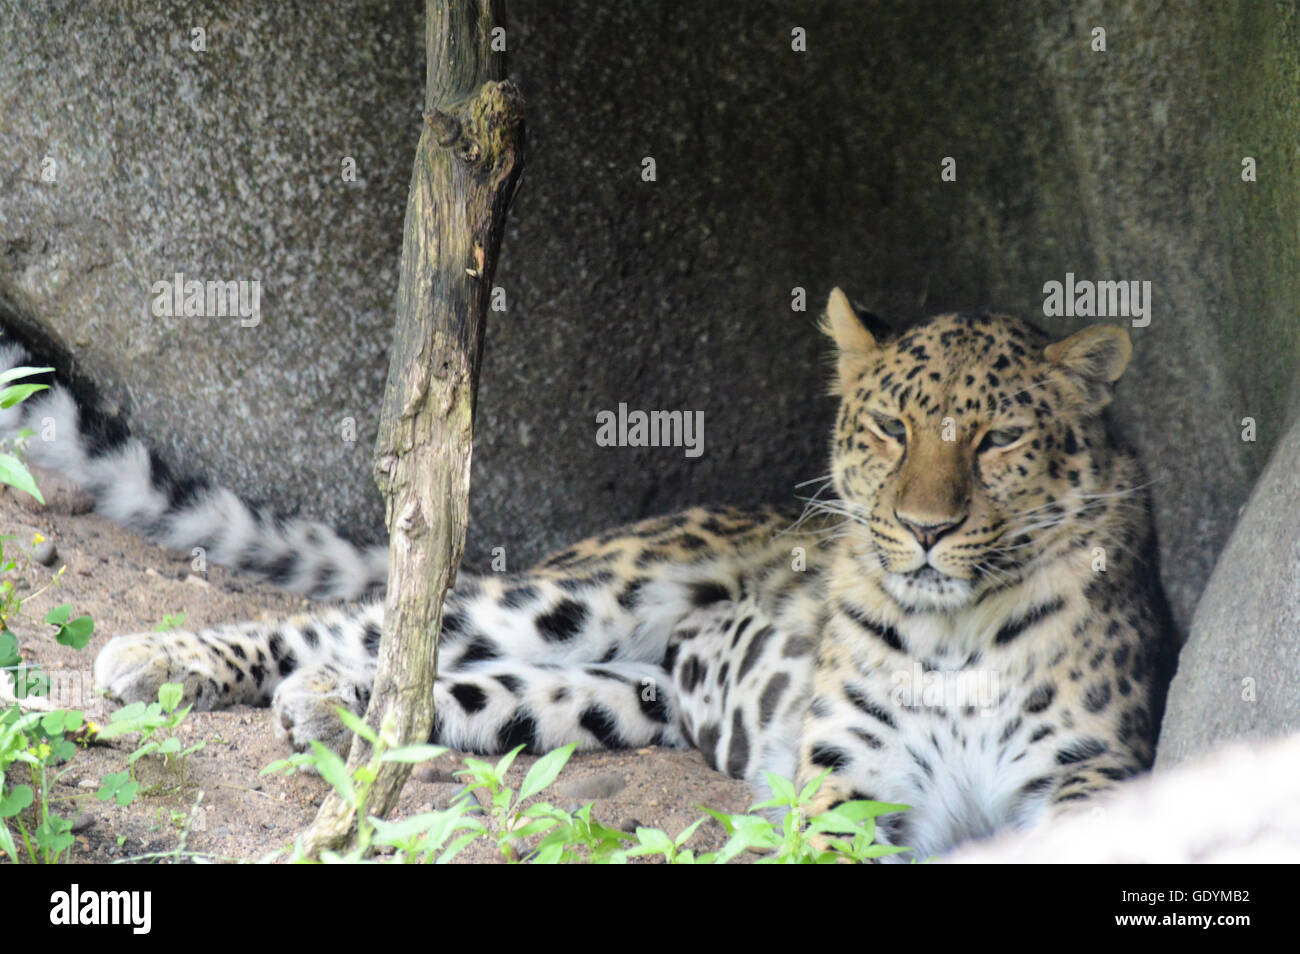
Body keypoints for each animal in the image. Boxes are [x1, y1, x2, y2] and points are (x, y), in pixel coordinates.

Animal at [0, 288, 1176, 859]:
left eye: (999, 440)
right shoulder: (850, 786)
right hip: (591, 593)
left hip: (626, 692)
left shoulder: (1092, 776)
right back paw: (168, 662)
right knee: (363, 623)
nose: (927, 531)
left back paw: (328, 715)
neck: (954, 634)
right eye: (890, 428)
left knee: (458, 694)